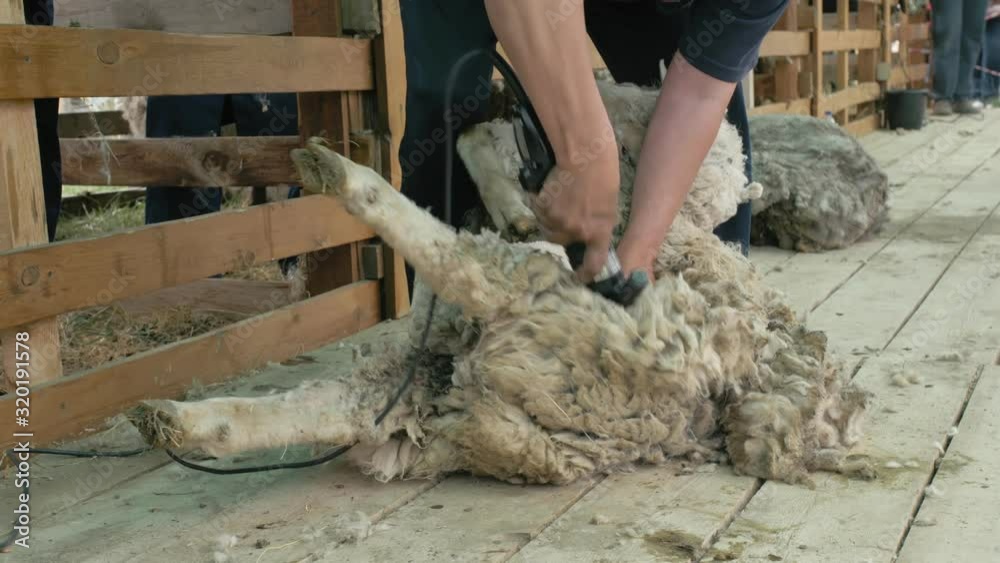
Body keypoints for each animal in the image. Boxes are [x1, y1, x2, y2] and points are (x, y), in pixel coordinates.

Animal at [130, 82, 873, 487]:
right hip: (427, 389)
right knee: (305, 410)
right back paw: (168, 418)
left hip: (527, 307)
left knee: (456, 259)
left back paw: (339, 171)